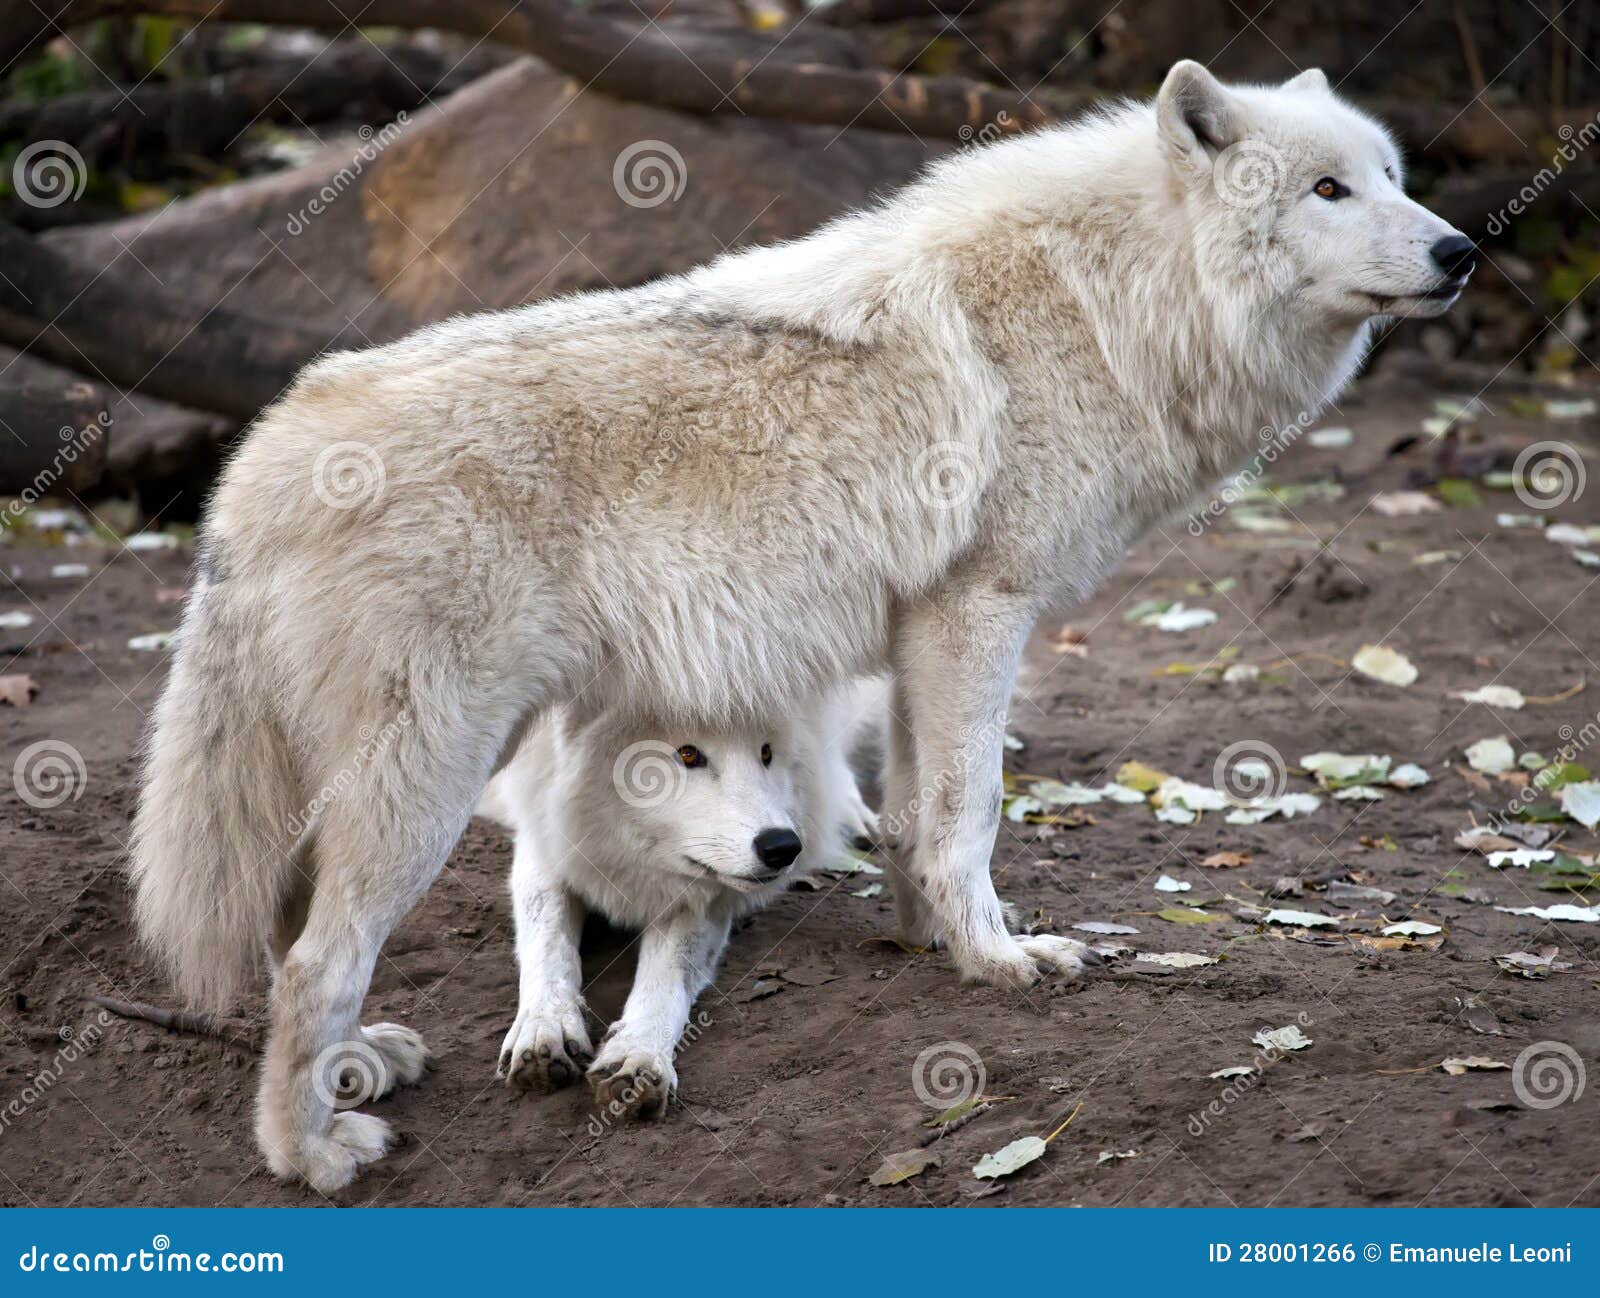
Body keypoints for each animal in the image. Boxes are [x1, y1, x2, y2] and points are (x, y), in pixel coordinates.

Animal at [476, 683, 880, 1117]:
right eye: (687, 754)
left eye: (767, 753)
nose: (782, 846)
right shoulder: (546, 841)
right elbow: (547, 939)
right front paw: (543, 1027)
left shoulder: (701, 894)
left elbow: (667, 976)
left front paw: (637, 1054)